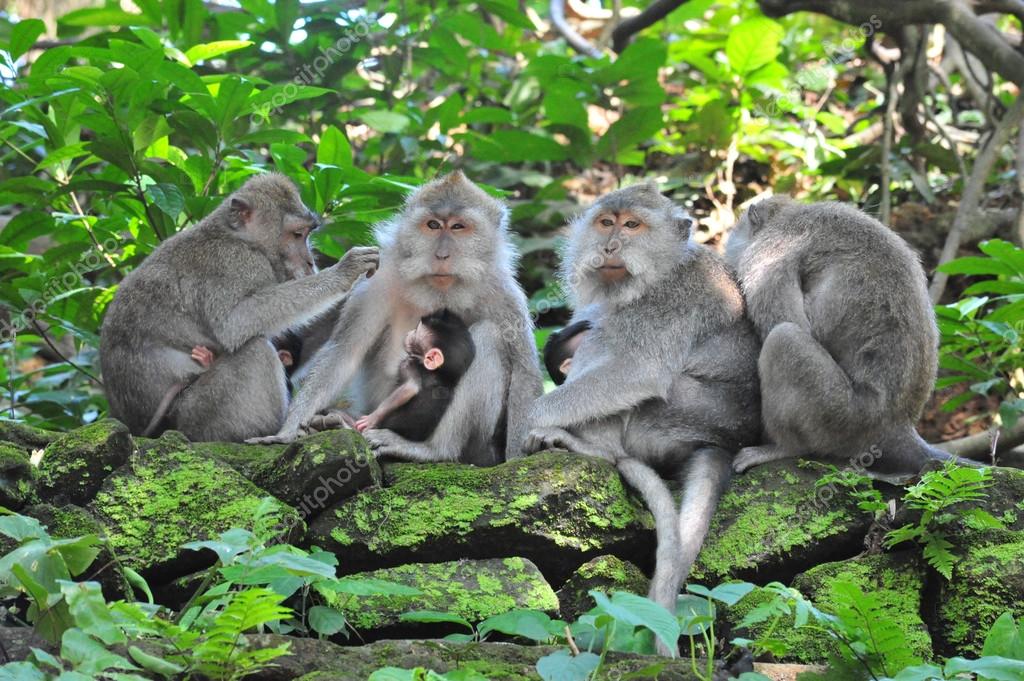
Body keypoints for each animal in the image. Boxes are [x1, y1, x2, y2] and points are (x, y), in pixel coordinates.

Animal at [100, 173, 379, 442]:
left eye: (307, 234)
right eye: (297, 234)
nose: (310, 262)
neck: (236, 236)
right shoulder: (237, 263)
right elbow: (235, 323)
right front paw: (343, 273)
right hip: (199, 414)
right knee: (255, 350)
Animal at [354, 308, 476, 442]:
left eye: (417, 330)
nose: (409, 332)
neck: (440, 375)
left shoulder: (408, 365)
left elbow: (410, 388)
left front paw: (372, 418)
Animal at [522, 183, 761, 643]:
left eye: (632, 225)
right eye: (606, 223)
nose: (610, 246)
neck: (658, 272)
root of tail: (723, 442)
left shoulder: (672, 300)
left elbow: (638, 370)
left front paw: (524, 419)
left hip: (673, 416)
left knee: (610, 348)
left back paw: (594, 449)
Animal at [724, 196, 979, 481]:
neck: (788, 214)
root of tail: (898, 425)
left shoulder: (770, 251)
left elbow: (787, 321)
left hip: (843, 416)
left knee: (784, 339)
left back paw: (783, 446)